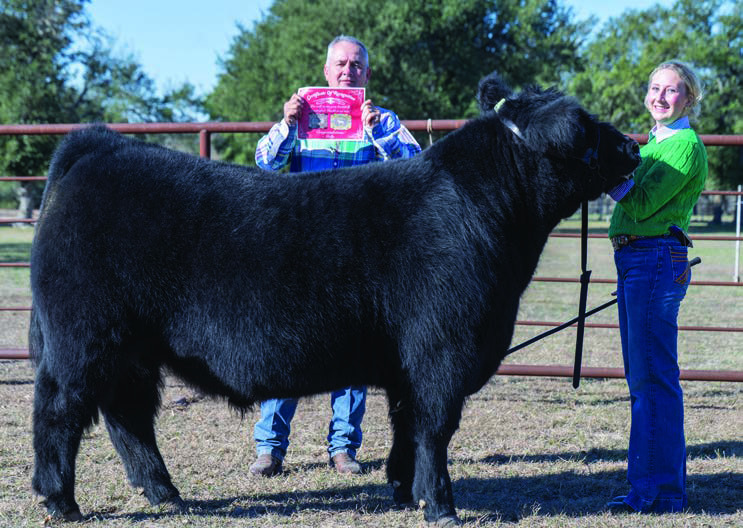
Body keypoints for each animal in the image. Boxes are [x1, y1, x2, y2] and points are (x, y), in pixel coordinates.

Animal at [29, 72, 640, 525]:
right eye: (587, 127)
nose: (633, 147)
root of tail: (99, 146)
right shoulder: (443, 351)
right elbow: (436, 427)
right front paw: (441, 506)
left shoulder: (408, 362)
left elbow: (407, 425)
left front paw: (405, 490)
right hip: (83, 339)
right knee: (60, 412)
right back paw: (61, 501)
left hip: (130, 350)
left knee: (127, 415)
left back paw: (164, 493)